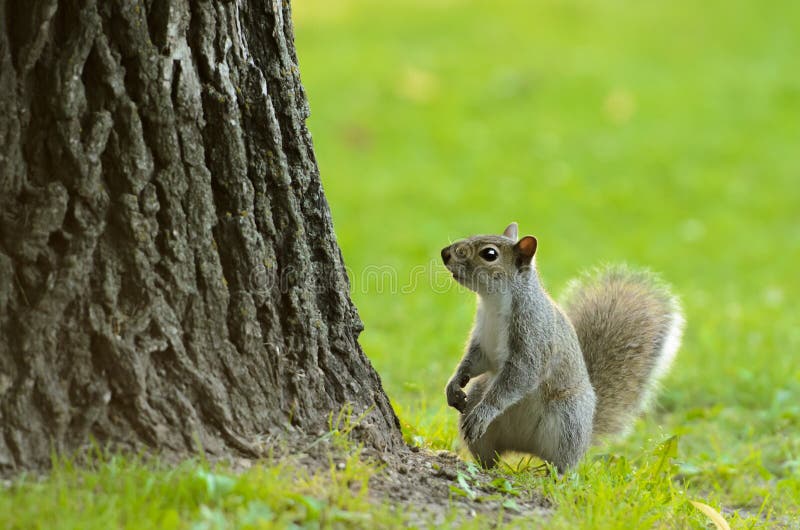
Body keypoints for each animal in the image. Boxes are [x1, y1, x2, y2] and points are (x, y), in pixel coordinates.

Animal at [441, 222, 684, 472]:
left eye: (489, 254)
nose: (445, 253)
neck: (493, 304)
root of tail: (524, 446)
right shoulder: (483, 341)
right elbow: (473, 361)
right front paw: (454, 385)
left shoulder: (534, 339)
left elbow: (519, 377)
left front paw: (484, 412)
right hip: (478, 401)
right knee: (489, 456)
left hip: (568, 419)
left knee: (564, 462)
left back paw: (555, 474)